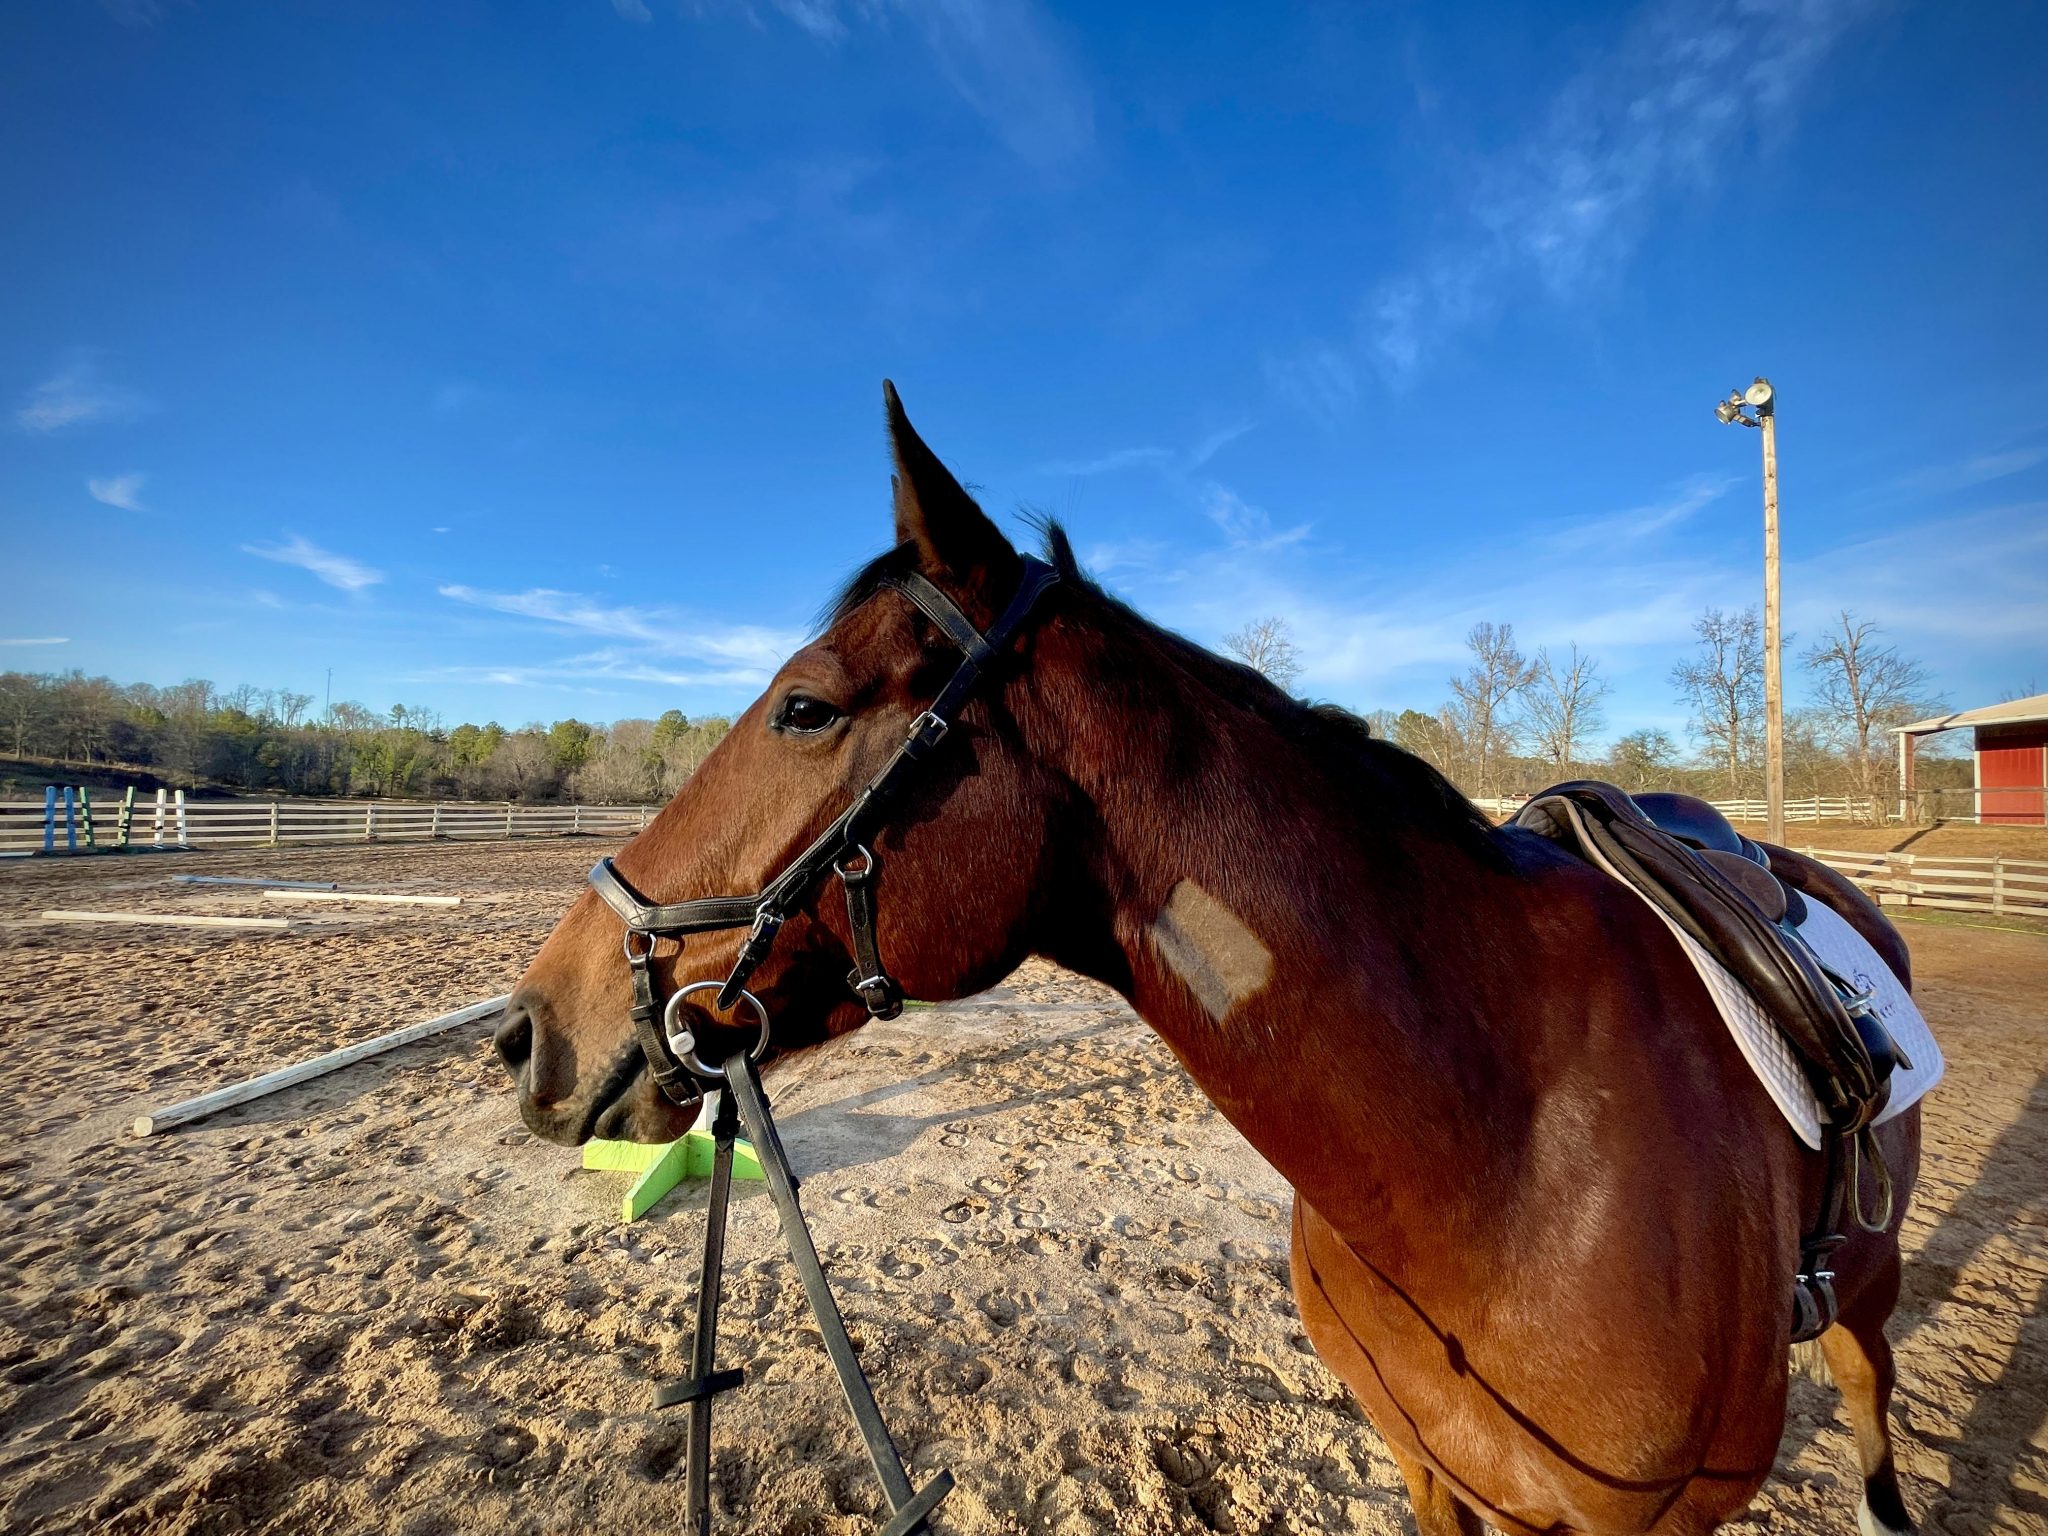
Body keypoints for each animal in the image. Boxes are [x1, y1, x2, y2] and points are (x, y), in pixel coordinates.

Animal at [496, 384, 1921, 1536]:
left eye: (804, 709)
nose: (529, 1029)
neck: (1503, 1150)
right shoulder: (1429, 1465)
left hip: (1865, 1282)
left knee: (1865, 1391)